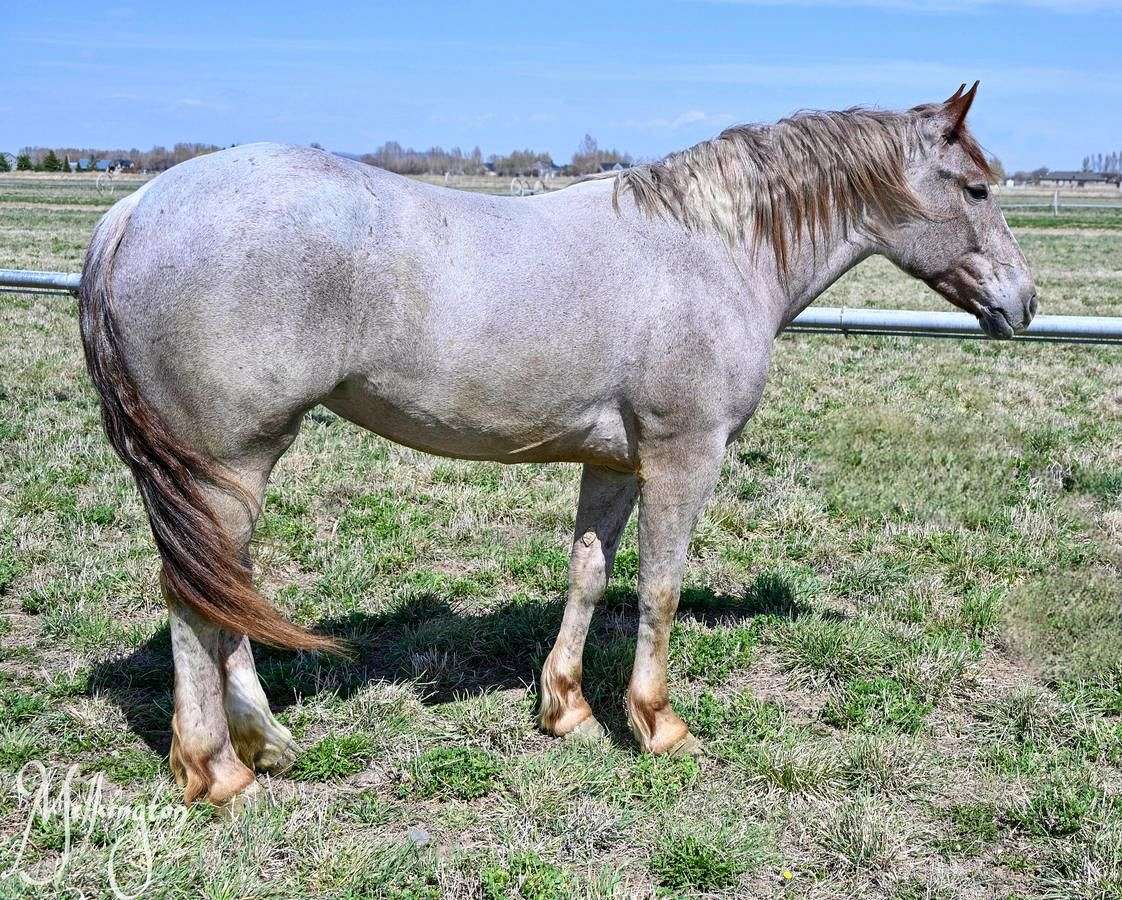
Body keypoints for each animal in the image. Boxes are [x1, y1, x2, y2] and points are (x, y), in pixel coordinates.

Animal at [78, 82, 1036, 804]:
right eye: (978, 189)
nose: (1023, 303)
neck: (708, 249)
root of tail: (134, 208)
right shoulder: (686, 456)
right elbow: (659, 589)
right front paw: (658, 723)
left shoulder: (612, 461)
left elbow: (588, 575)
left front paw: (567, 709)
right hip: (227, 465)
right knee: (198, 602)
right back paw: (217, 771)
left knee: (224, 595)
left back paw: (269, 743)